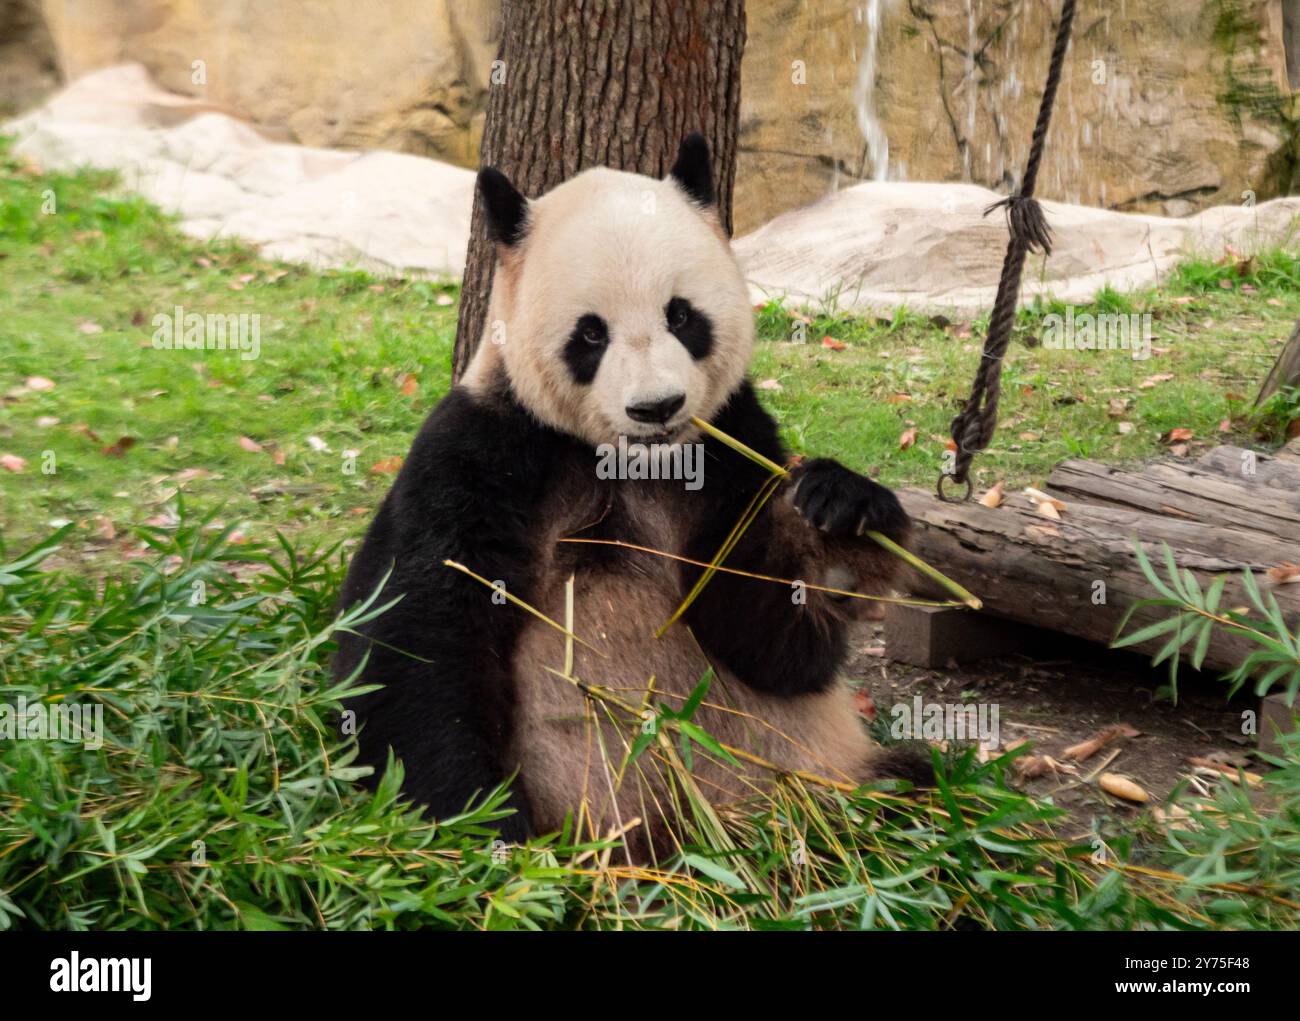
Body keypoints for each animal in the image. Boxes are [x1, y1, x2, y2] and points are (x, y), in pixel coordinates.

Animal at [334, 136, 916, 853]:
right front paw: (486, 827)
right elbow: (414, 635)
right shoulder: (482, 450)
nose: (656, 407)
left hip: (816, 768)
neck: (633, 463)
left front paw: (838, 526)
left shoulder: (732, 445)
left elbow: (774, 649)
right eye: (591, 333)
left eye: (682, 315)